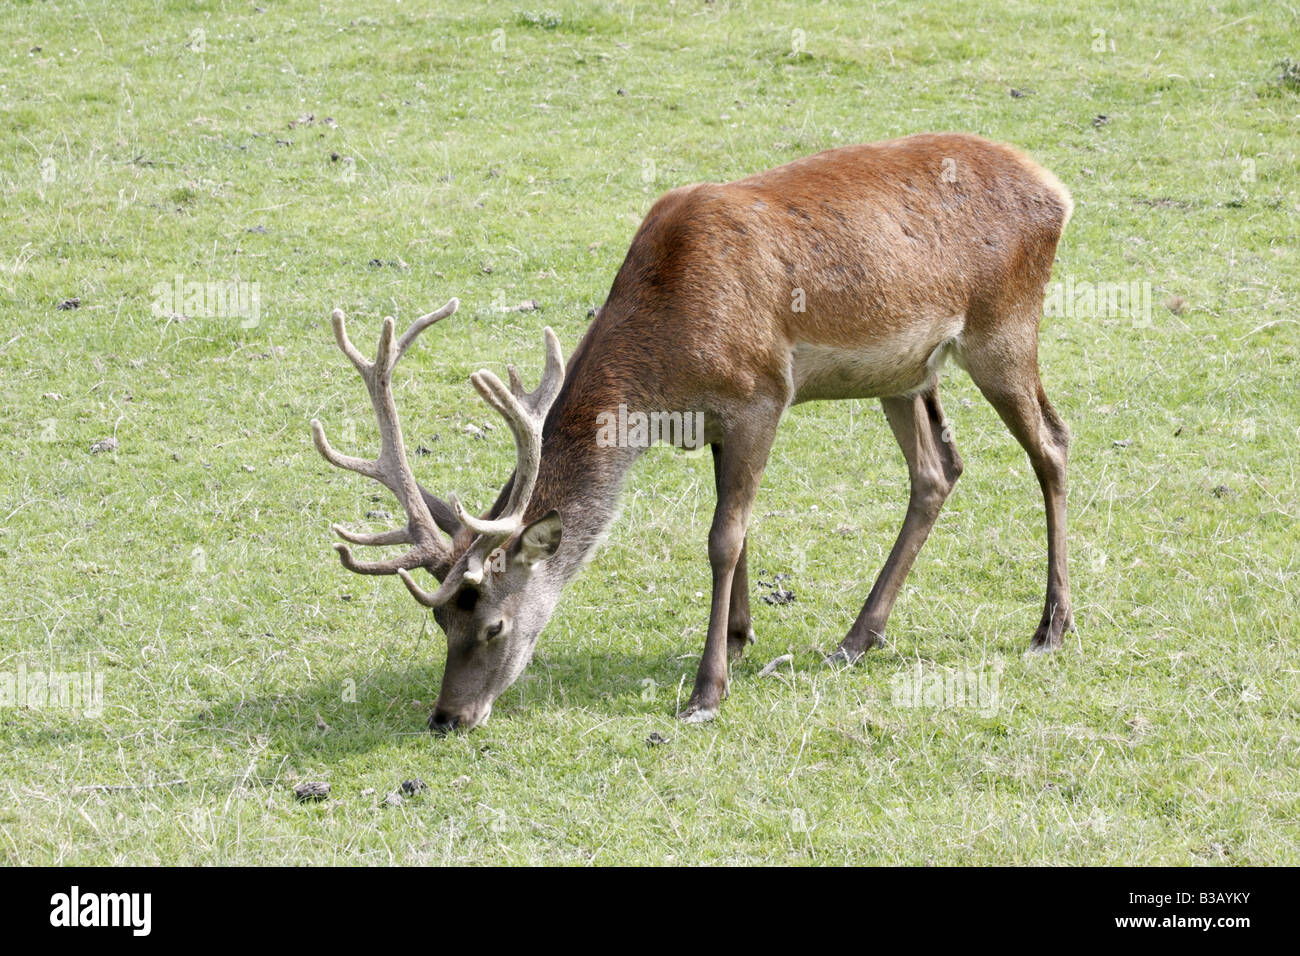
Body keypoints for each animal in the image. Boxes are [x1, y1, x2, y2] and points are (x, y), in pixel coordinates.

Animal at [310, 132, 1074, 731]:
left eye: (492, 623)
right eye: (440, 622)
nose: (447, 717)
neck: (665, 365)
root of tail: (1058, 188)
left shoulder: (762, 395)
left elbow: (723, 537)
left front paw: (708, 691)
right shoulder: (714, 420)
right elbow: (739, 529)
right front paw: (737, 638)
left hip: (1003, 328)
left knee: (1053, 444)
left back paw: (1051, 626)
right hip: (906, 372)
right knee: (937, 471)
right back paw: (858, 638)